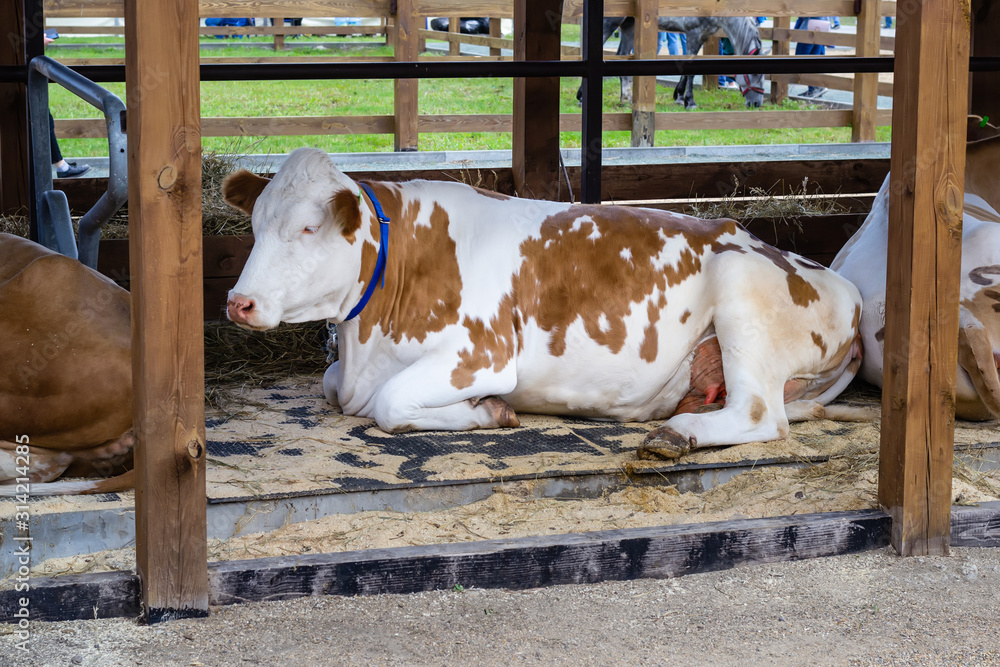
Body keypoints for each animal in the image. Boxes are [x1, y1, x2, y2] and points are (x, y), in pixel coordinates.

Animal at [223, 148, 865, 460]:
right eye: (254, 225)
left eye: (308, 229)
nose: (238, 302)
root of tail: (848, 290)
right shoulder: (348, 373)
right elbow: (334, 386)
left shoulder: (481, 353)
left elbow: (389, 402)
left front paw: (489, 412)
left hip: (739, 290)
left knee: (760, 415)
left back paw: (677, 435)